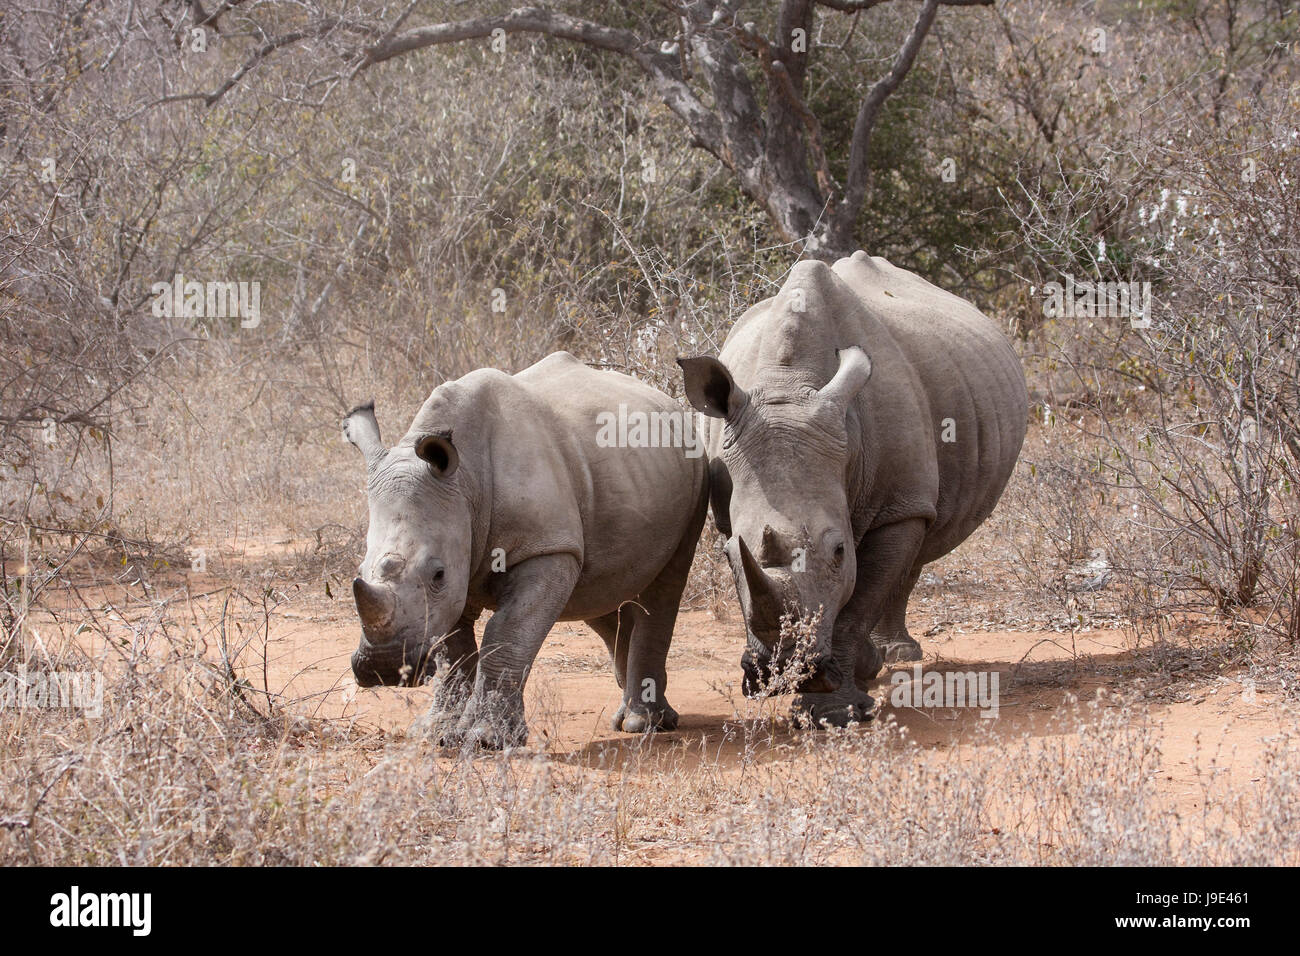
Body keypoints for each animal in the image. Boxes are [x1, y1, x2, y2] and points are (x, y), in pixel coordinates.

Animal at [343, 351, 709, 748]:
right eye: (358, 573)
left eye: (437, 574)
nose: (382, 667)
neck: (464, 482)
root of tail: (671, 404)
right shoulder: (459, 560)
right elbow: (451, 648)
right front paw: (436, 733)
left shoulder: (545, 548)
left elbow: (506, 633)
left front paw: (488, 739)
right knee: (600, 591)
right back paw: (628, 715)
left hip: (697, 470)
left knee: (664, 587)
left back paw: (646, 724)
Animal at [678, 252, 1027, 727]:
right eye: (729, 554)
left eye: (839, 551)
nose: (781, 672)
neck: (789, 386)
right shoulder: (729, 508)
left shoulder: (901, 503)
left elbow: (859, 603)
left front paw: (834, 713)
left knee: (917, 543)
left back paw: (894, 656)